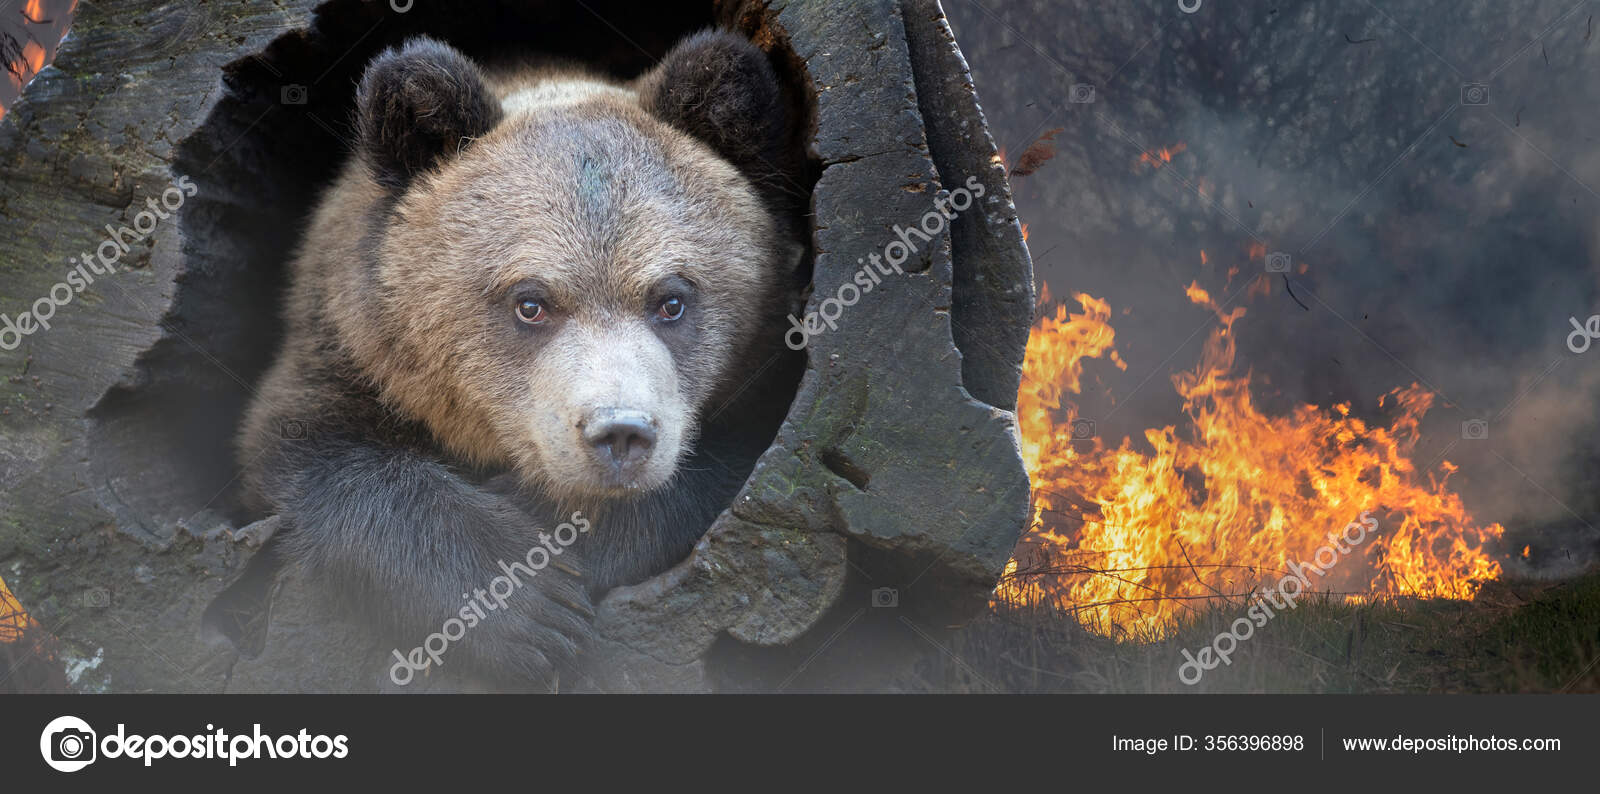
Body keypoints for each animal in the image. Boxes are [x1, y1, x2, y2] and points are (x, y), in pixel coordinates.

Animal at [236, 31, 804, 688]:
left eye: (671, 300)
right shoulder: (347, 353)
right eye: (530, 302)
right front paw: (529, 608)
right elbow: (312, 448)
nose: (619, 433)